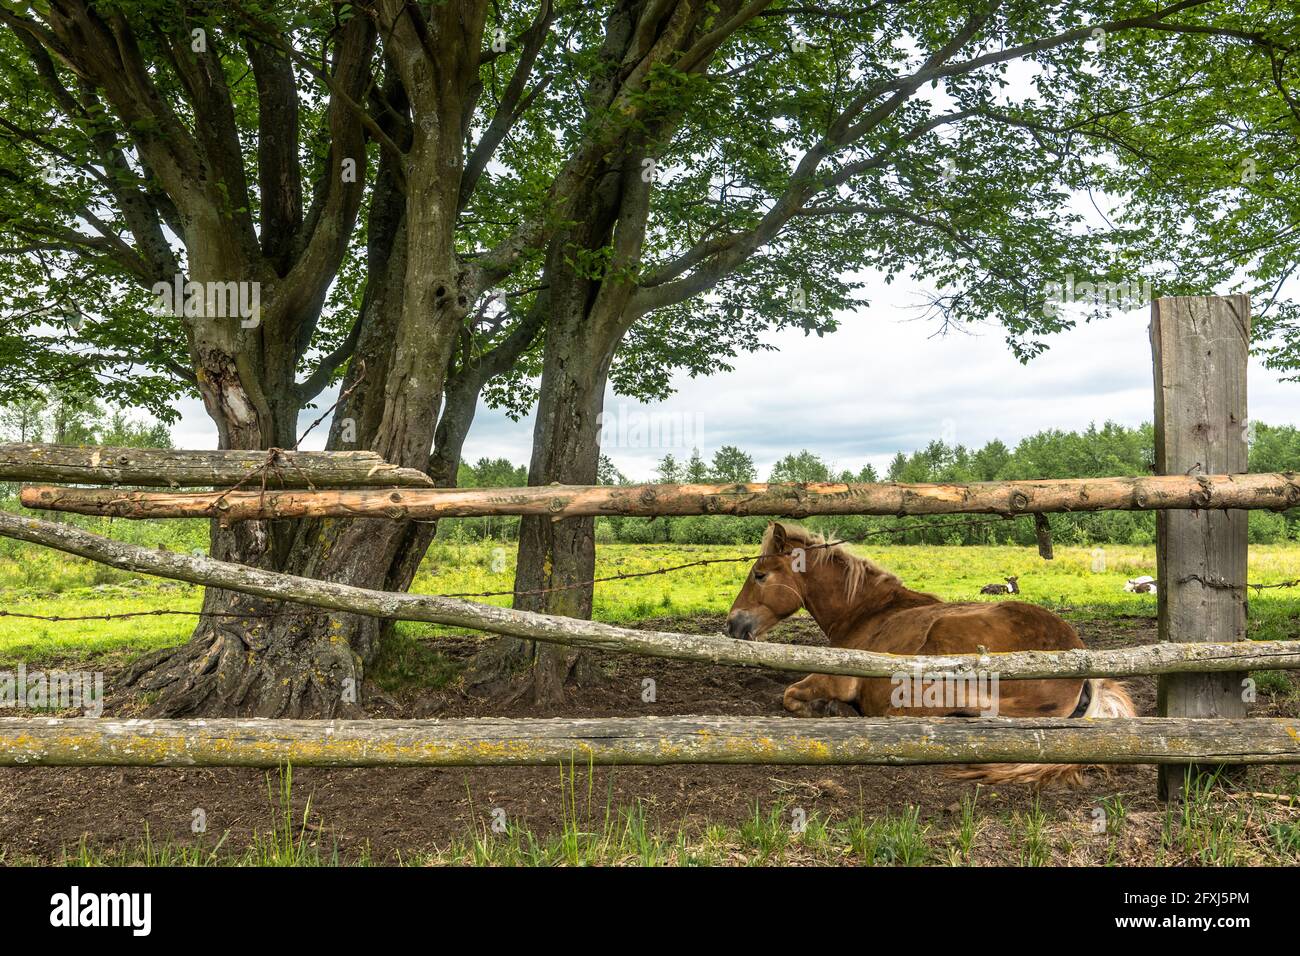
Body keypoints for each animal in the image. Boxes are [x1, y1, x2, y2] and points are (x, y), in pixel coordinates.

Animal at [726, 522, 1135, 787]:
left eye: (760, 574)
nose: (733, 625)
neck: (866, 611)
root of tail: (1082, 667)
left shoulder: (834, 677)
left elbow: (790, 696)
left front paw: (830, 709)